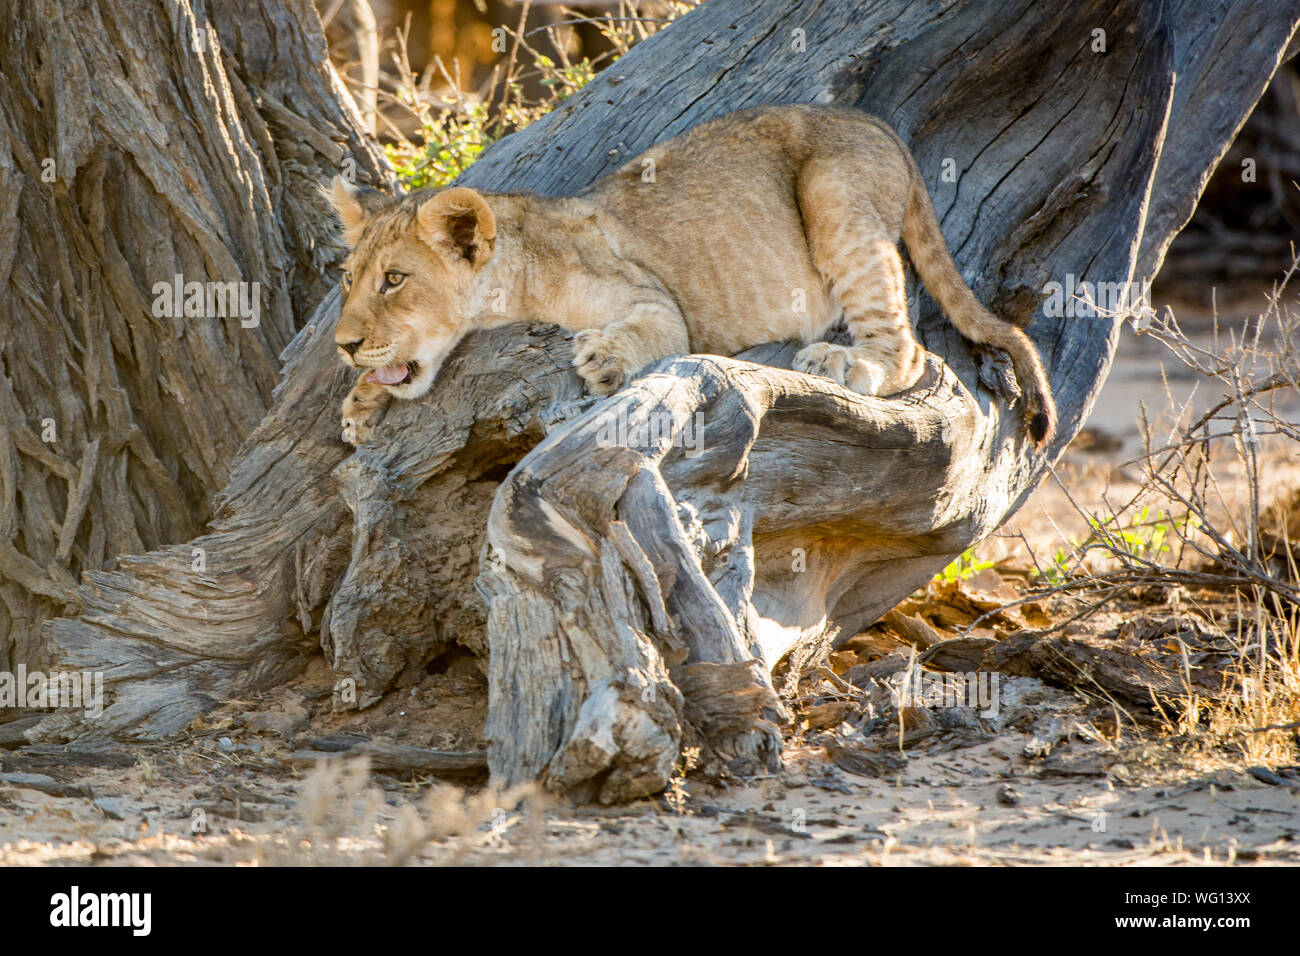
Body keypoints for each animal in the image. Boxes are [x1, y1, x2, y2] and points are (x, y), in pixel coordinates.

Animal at [327, 104, 1055, 446]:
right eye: (348, 279)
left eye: (394, 280)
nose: (344, 344)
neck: (514, 281)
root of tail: (880, 124)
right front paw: (359, 404)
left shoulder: (653, 300)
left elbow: (649, 331)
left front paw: (604, 358)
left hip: (836, 194)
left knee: (908, 350)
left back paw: (845, 361)